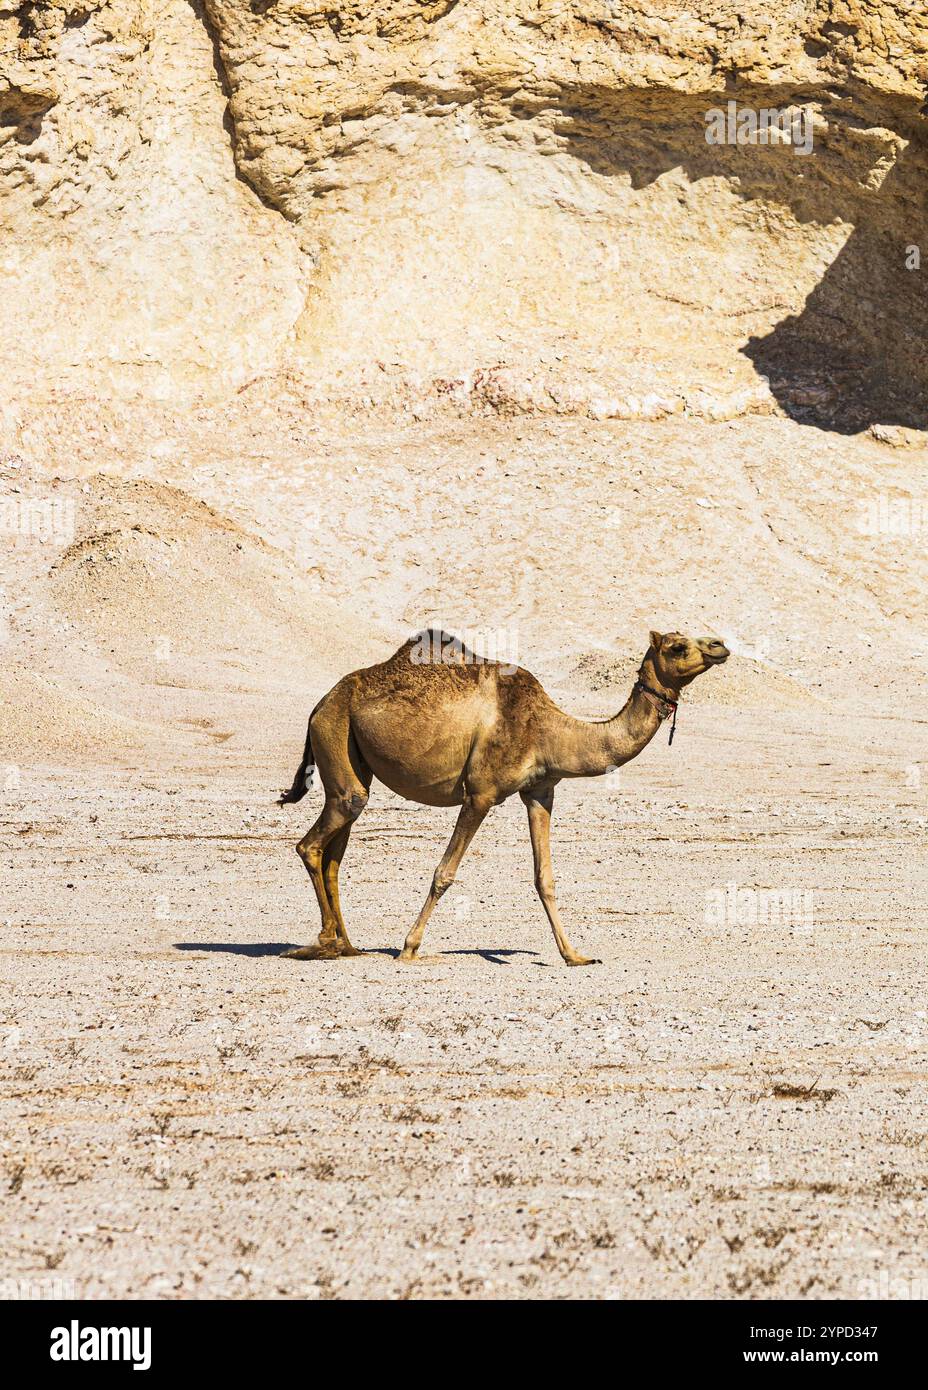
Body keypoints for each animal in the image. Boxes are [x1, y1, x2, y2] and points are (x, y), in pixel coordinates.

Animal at [278, 628, 728, 966]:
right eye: (677, 646)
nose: (720, 645)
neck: (551, 730)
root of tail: (320, 703)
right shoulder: (480, 794)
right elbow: (444, 873)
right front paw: (409, 947)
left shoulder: (540, 792)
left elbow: (545, 877)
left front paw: (574, 955)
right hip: (334, 732)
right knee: (315, 840)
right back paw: (324, 943)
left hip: (353, 757)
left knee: (337, 845)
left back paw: (347, 945)